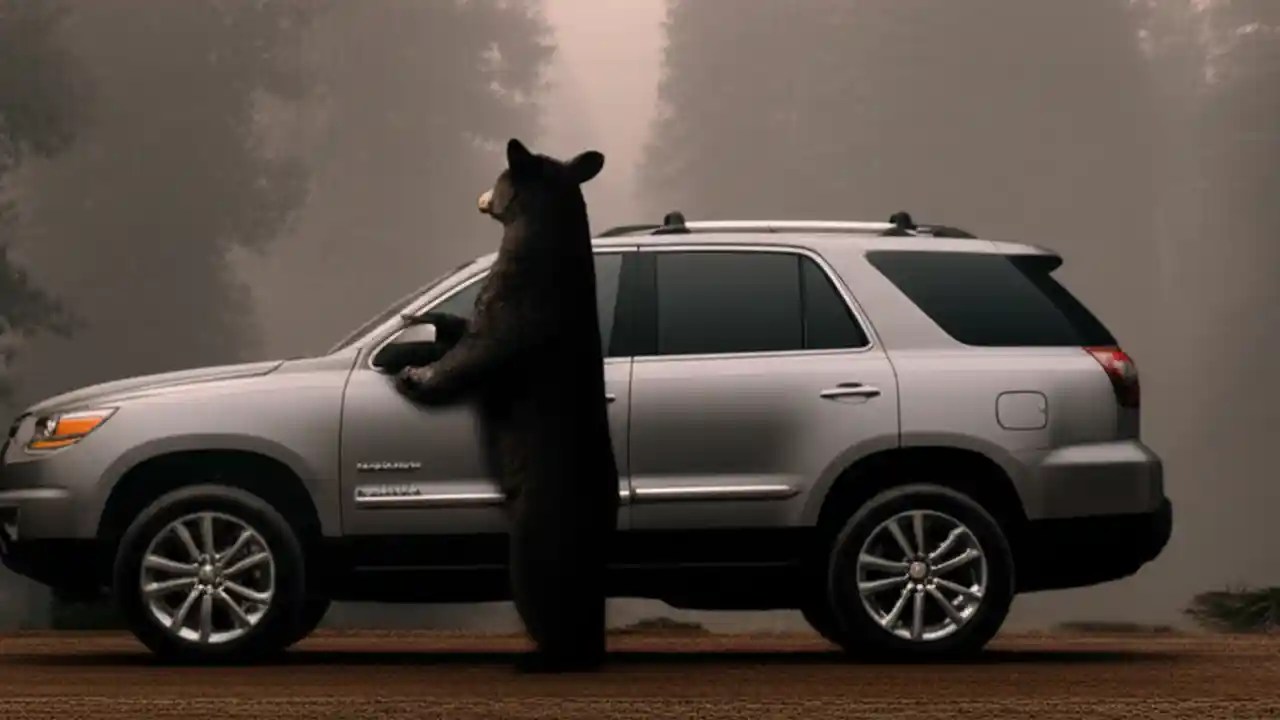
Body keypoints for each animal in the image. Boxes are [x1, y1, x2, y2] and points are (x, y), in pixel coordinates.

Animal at [394, 138, 619, 673]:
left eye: (499, 178)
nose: (478, 196)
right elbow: (456, 330)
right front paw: (427, 322)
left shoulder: (514, 306)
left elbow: (474, 353)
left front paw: (413, 377)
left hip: (539, 528)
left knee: (541, 590)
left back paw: (546, 657)